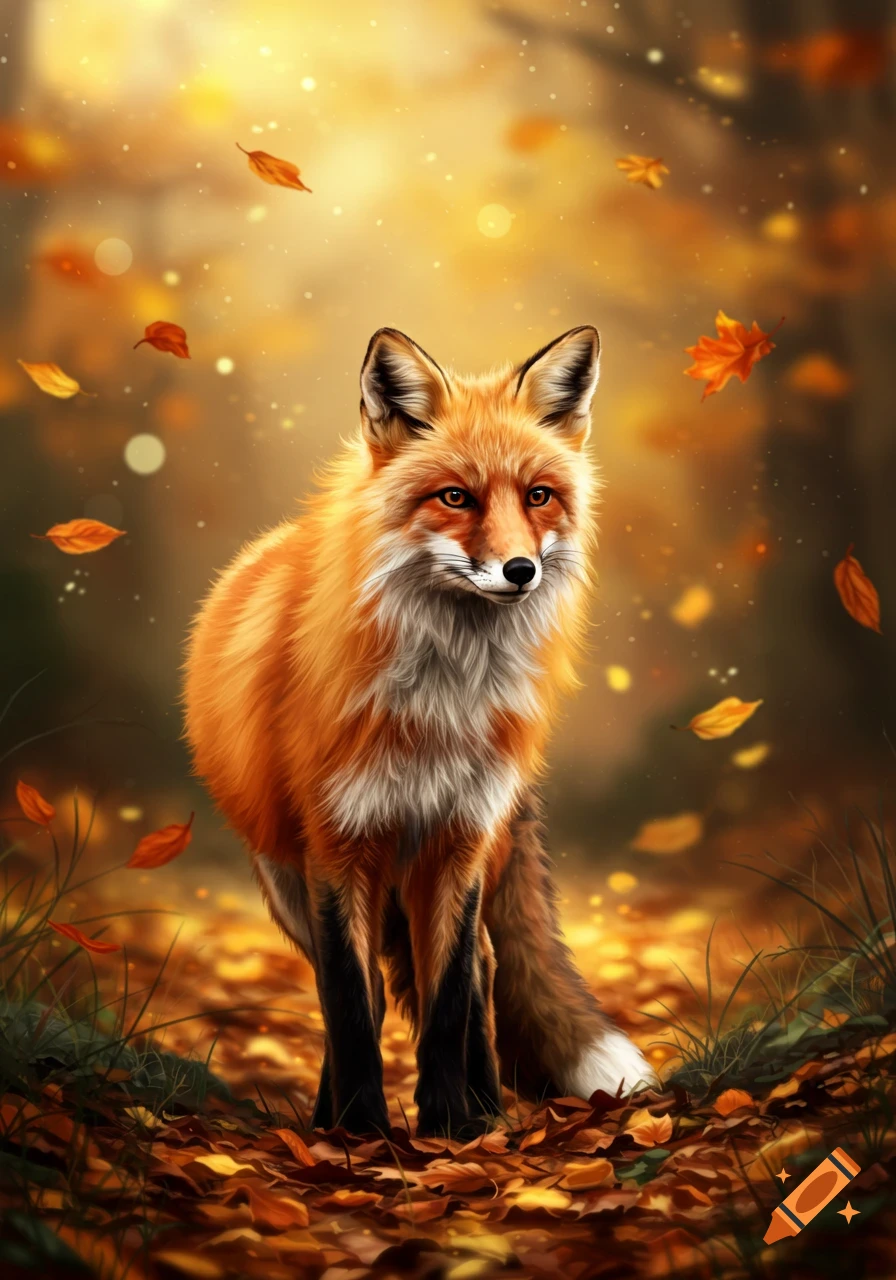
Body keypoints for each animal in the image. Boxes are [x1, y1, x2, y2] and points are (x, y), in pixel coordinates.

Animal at [183, 325, 657, 1137]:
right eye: (455, 497)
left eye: (538, 495)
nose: (521, 570)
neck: (440, 709)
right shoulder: (336, 846)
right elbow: (350, 1002)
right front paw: (362, 1131)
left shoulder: (457, 841)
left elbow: (447, 1000)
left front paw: (451, 1128)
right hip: (289, 879)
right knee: (364, 988)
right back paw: (333, 1116)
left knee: (485, 970)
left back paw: (488, 1109)